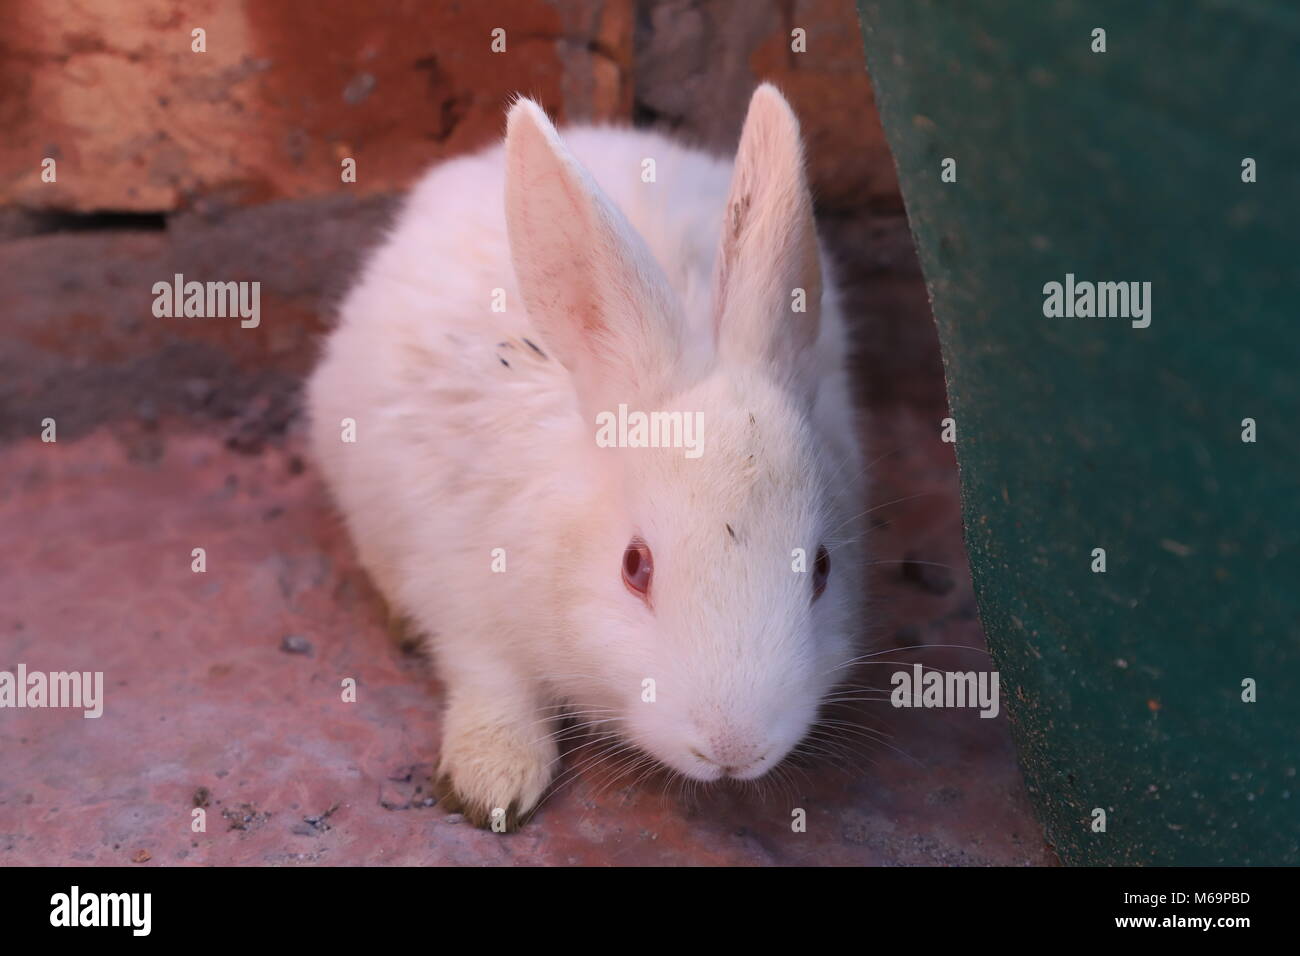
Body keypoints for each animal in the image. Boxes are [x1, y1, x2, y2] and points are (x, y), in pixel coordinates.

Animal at [306, 83, 866, 830]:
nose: (733, 747)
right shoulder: (463, 598)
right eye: (634, 566)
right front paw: (492, 780)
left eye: (823, 569)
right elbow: (492, 682)